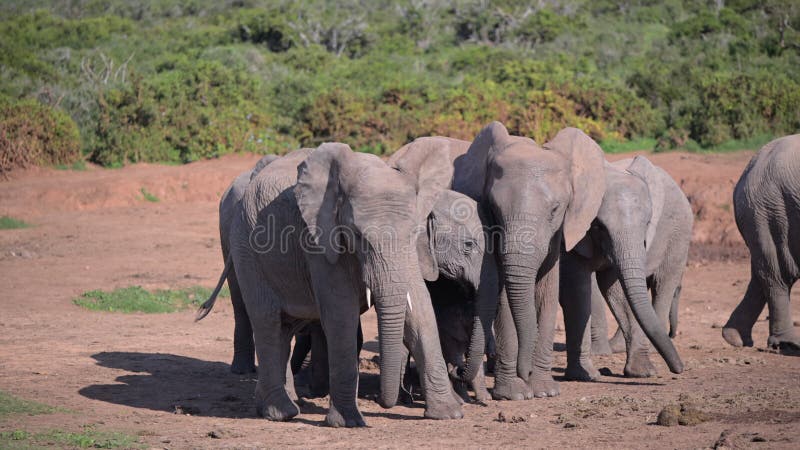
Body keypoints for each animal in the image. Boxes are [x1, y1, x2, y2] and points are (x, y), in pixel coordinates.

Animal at [225, 143, 462, 427]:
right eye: (357, 235)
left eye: (415, 232)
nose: (384, 401)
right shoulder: (319, 238)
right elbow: (341, 313)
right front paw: (350, 423)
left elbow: (419, 307)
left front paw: (449, 414)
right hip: (246, 249)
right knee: (267, 321)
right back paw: (281, 412)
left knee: (285, 327)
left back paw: (278, 406)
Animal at [559, 155, 693, 380]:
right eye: (598, 226)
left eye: (648, 224)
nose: (679, 369)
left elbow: (614, 289)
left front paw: (642, 372)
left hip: (679, 235)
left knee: (663, 284)